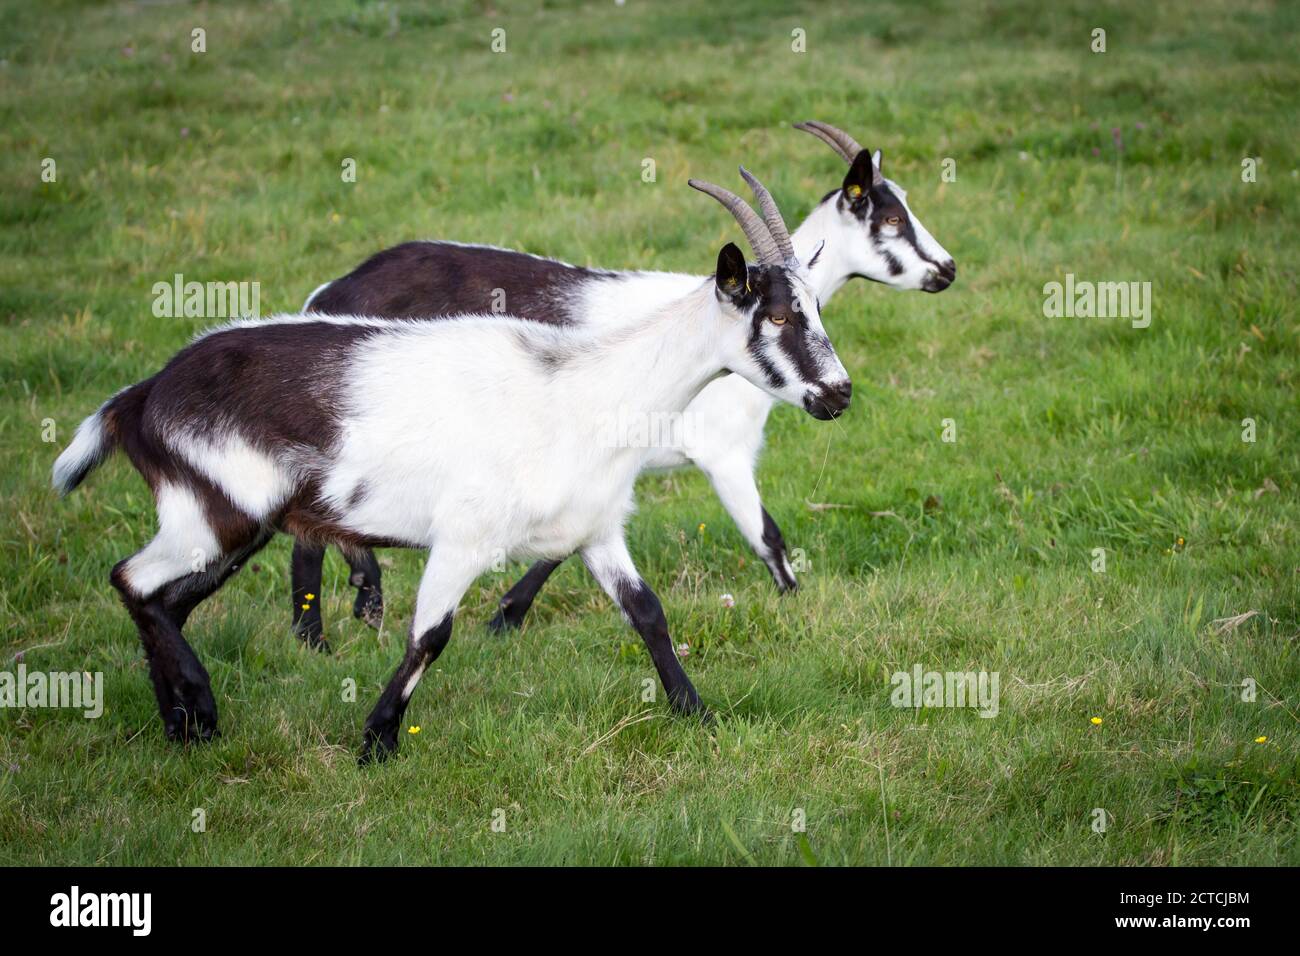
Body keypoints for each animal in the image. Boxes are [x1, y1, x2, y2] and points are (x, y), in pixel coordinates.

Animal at [53, 173, 851, 761]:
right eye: (778, 315)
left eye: (815, 307)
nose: (838, 393)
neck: (587, 387)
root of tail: (142, 397)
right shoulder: (463, 538)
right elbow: (430, 636)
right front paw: (375, 744)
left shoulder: (594, 528)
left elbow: (647, 613)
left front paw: (699, 715)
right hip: (215, 514)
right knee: (133, 581)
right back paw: (197, 713)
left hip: (229, 522)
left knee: (165, 600)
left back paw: (186, 724)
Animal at [291, 122, 956, 647]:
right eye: (891, 218)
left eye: (814, 304)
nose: (947, 270)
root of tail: (325, 294)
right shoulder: (722, 454)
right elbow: (768, 538)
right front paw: (797, 612)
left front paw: (505, 616)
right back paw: (318, 637)